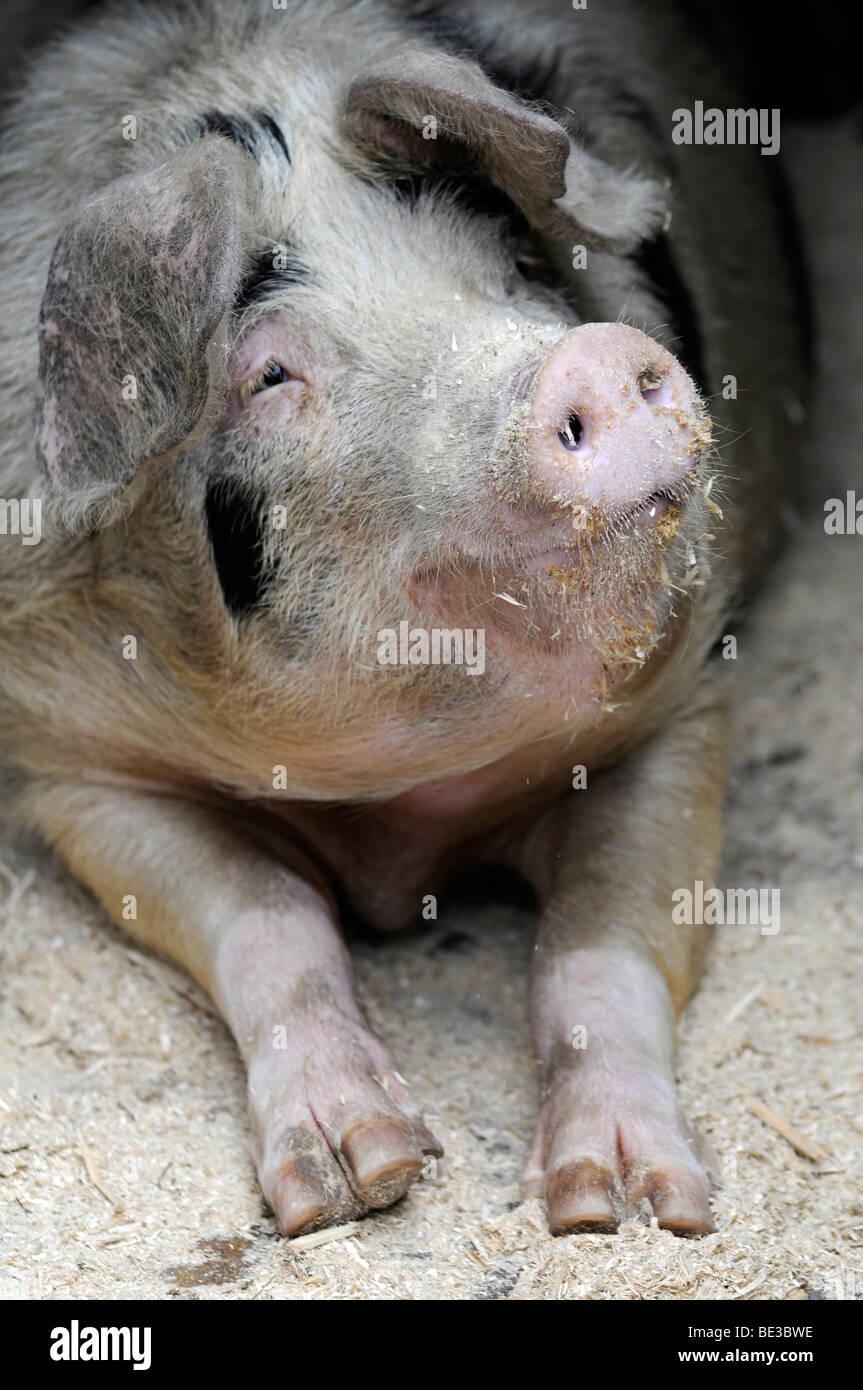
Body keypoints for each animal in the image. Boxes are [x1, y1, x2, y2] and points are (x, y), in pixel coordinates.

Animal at [0, 0, 805, 1237]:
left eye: (512, 273)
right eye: (270, 374)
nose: (592, 357)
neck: (399, 806)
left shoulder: (678, 709)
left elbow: (599, 942)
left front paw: (622, 1206)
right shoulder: (77, 757)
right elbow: (269, 916)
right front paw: (355, 1181)